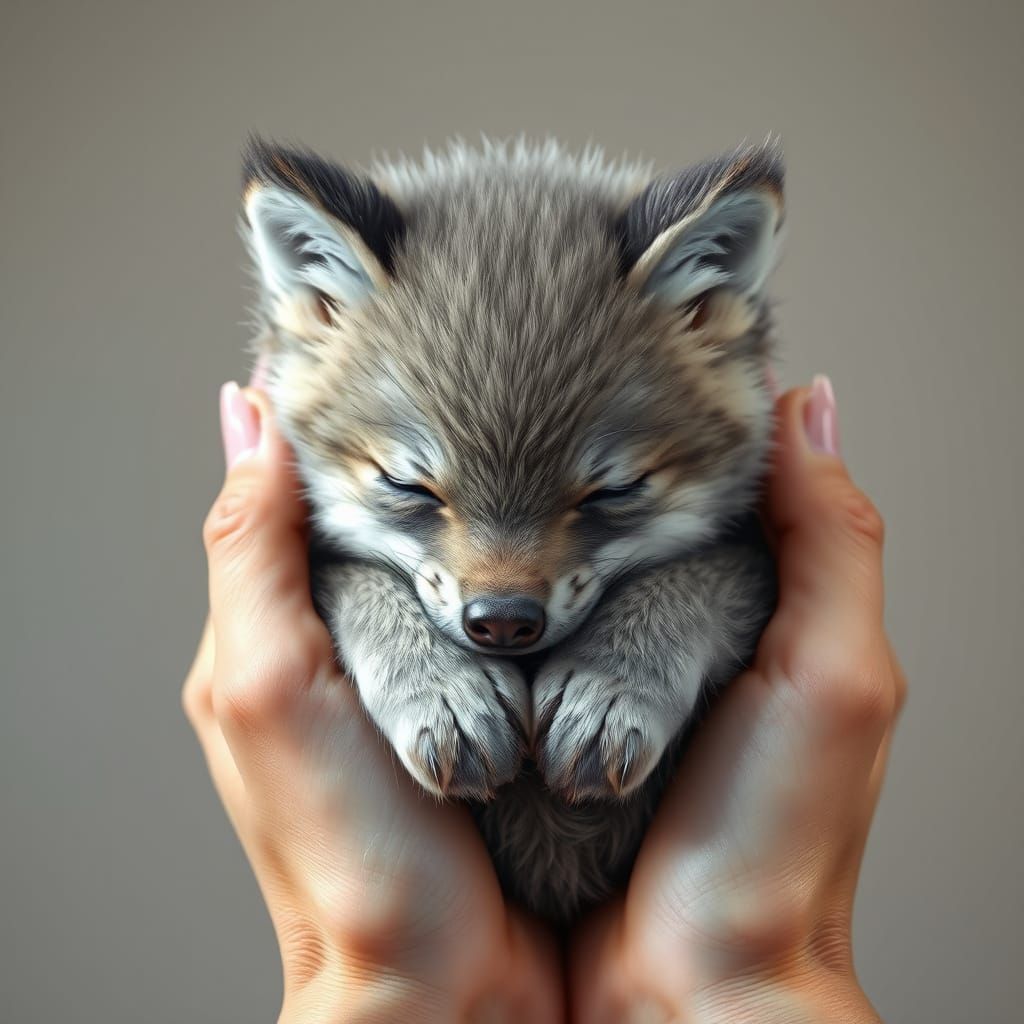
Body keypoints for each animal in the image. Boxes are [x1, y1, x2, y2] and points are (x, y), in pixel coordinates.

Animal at [239, 135, 781, 923]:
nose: (501, 619)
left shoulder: (756, 559)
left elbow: (689, 579)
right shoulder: (322, 557)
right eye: (407, 485)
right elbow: (365, 582)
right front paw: (446, 691)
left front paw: (609, 687)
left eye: (614, 490)